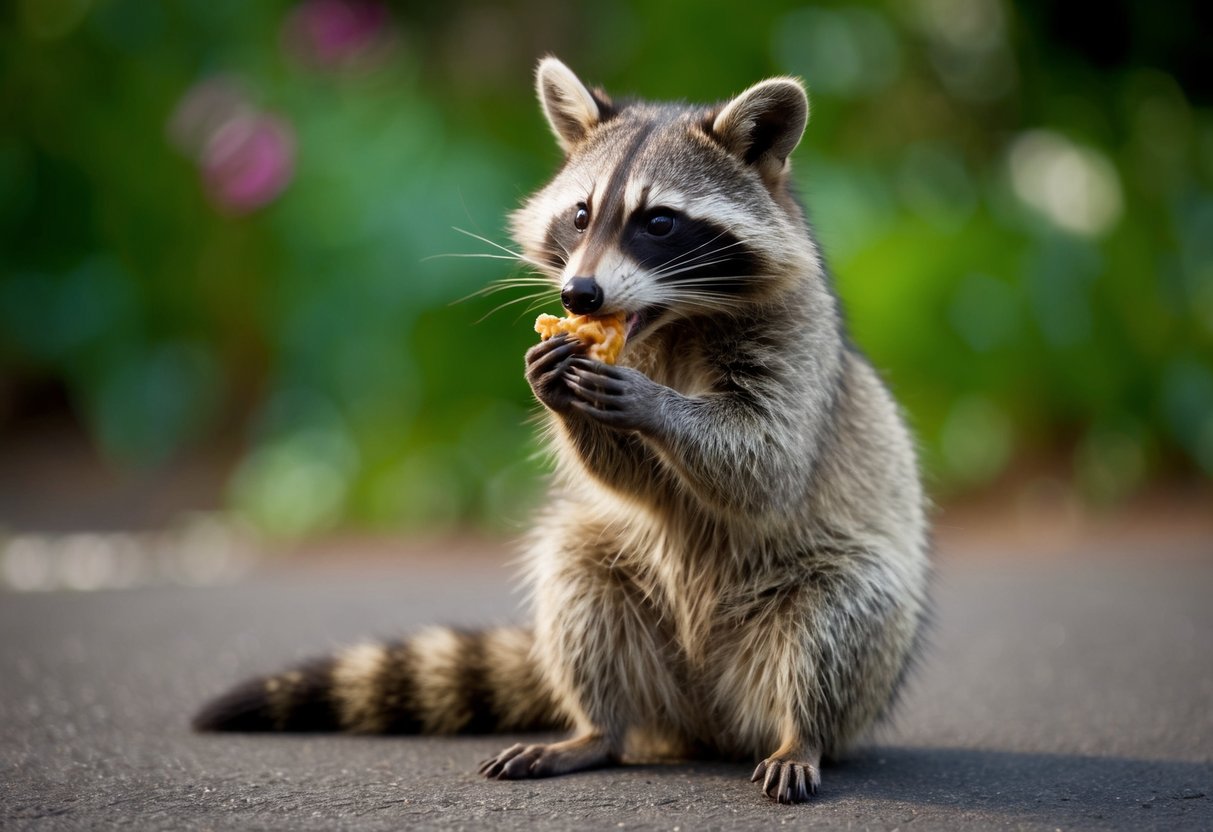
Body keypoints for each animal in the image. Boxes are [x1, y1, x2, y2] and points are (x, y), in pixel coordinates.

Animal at [193, 57, 931, 805]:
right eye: (580, 215)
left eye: (658, 222)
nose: (579, 295)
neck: (669, 323)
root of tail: (705, 721)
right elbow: (635, 485)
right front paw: (560, 389)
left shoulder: (796, 345)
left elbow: (765, 464)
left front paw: (656, 406)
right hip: (623, 597)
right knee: (576, 578)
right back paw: (594, 731)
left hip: (850, 624)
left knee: (836, 619)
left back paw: (799, 732)